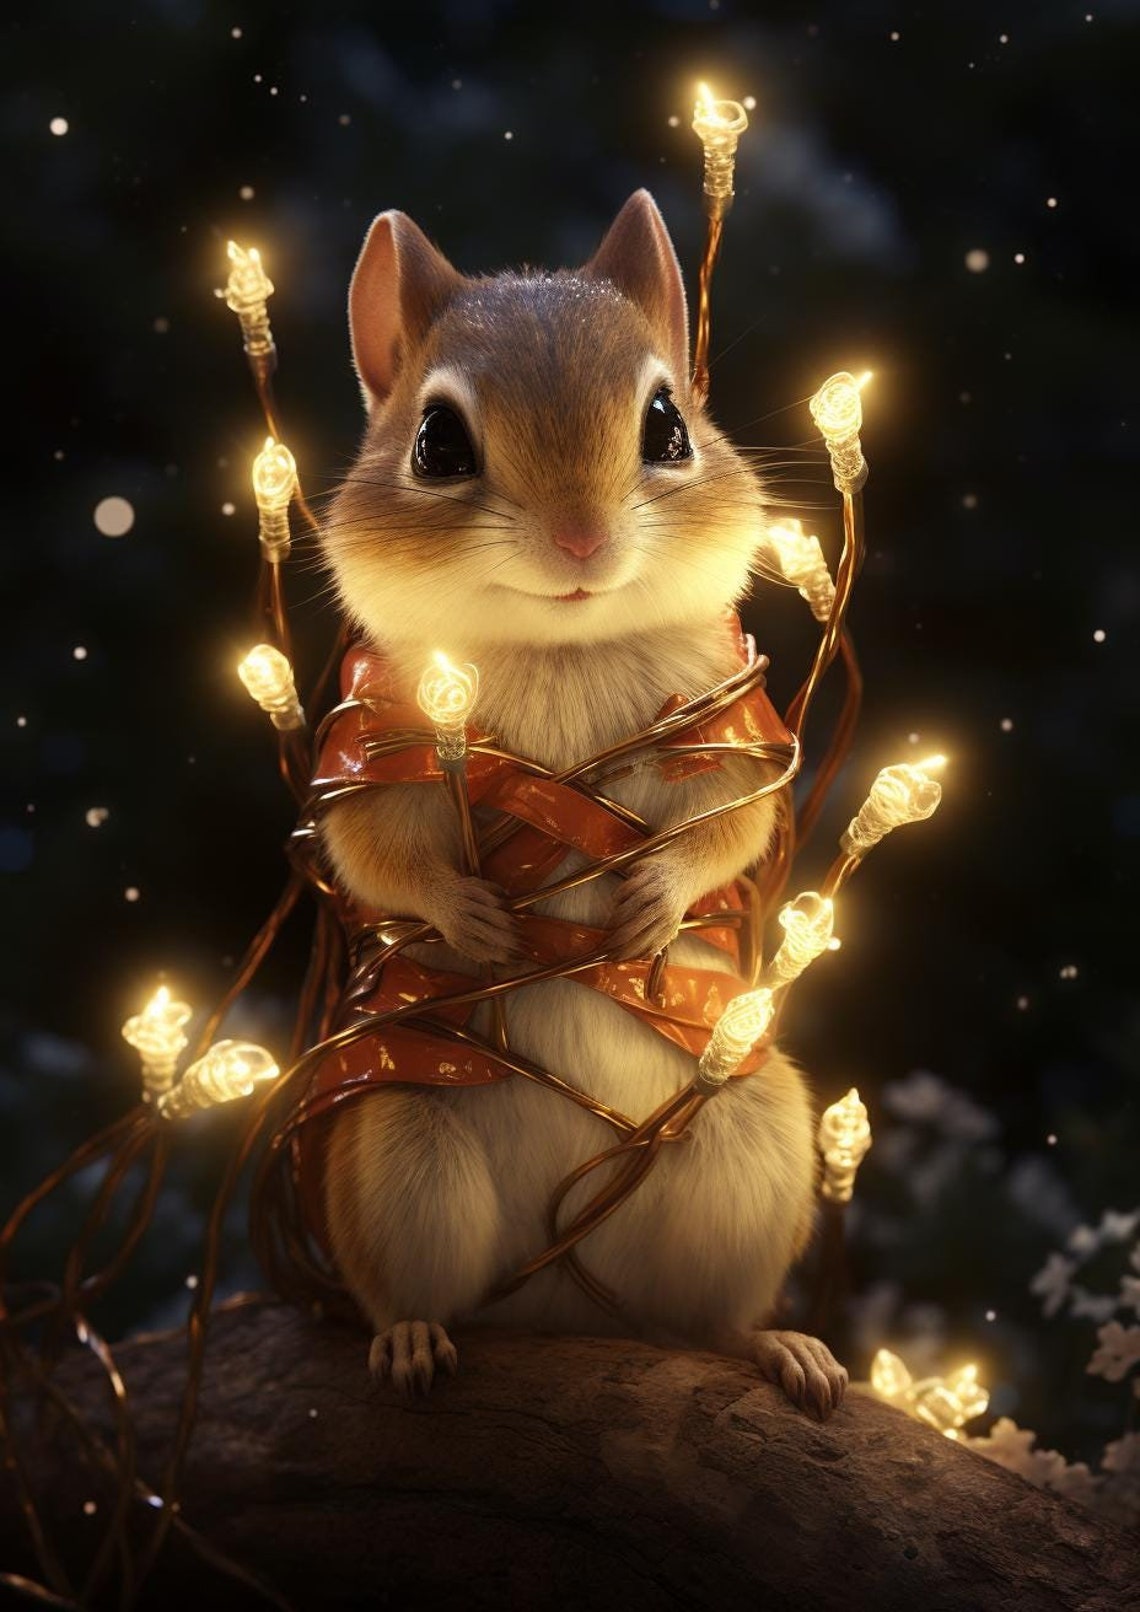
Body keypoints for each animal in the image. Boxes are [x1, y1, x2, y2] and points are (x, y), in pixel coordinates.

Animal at [316, 189, 848, 1421]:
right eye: (436, 444)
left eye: (668, 426)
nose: (581, 537)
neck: (562, 646)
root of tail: (562, 1304)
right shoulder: (381, 738)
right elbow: (373, 854)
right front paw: (468, 917)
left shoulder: (728, 734)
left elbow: (735, 827)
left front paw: (658, 896)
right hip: (397, 1155)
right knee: (411, 1287)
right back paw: (411, 1339)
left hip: (751, 1151)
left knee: (706, 1316)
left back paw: (780, 1347)